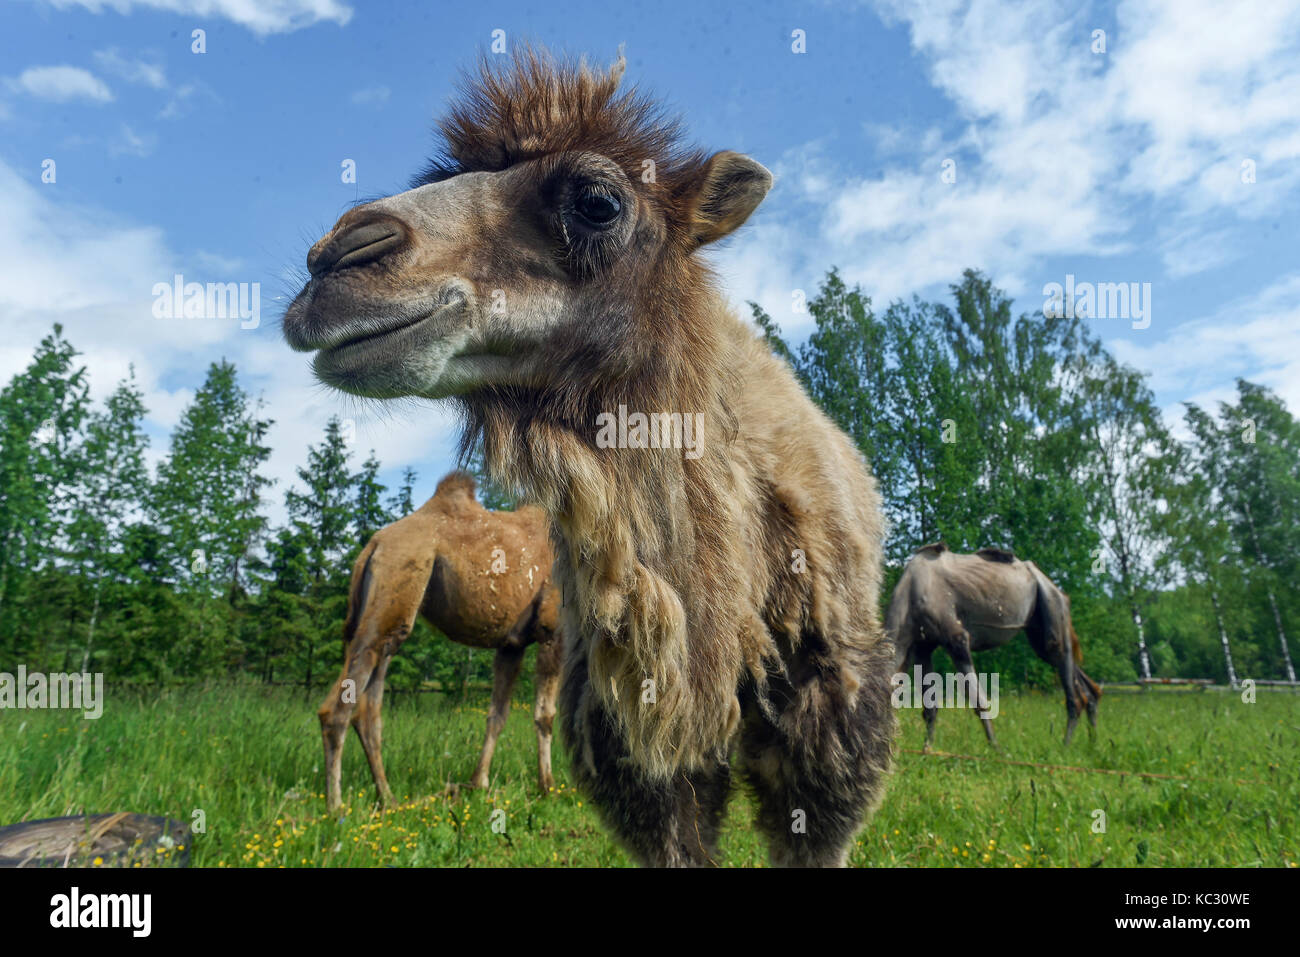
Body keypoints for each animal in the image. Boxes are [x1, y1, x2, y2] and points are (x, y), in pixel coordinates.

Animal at [317, 471, 563, 814]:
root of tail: (373, 546)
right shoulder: (552, 629)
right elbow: (545, 715)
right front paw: (547, 787)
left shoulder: (511, 644)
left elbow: (497, 715)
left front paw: (478, 783)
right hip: (393, 592)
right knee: (336, 710)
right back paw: (336, 808)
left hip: (387, 617)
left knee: (367, 713)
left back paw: (388, 798)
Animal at [887, 543, 1102, 748]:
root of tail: (1059, 592)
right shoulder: (923, 646)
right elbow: (930, 708)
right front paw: (927, 749)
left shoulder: (956, 638)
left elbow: (979, 700)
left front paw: (996, 749)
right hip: (1038, 633)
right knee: (1089, 689)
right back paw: (1092, 745)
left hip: (1053, 613)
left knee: (1074, 694)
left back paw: (1065, 746)